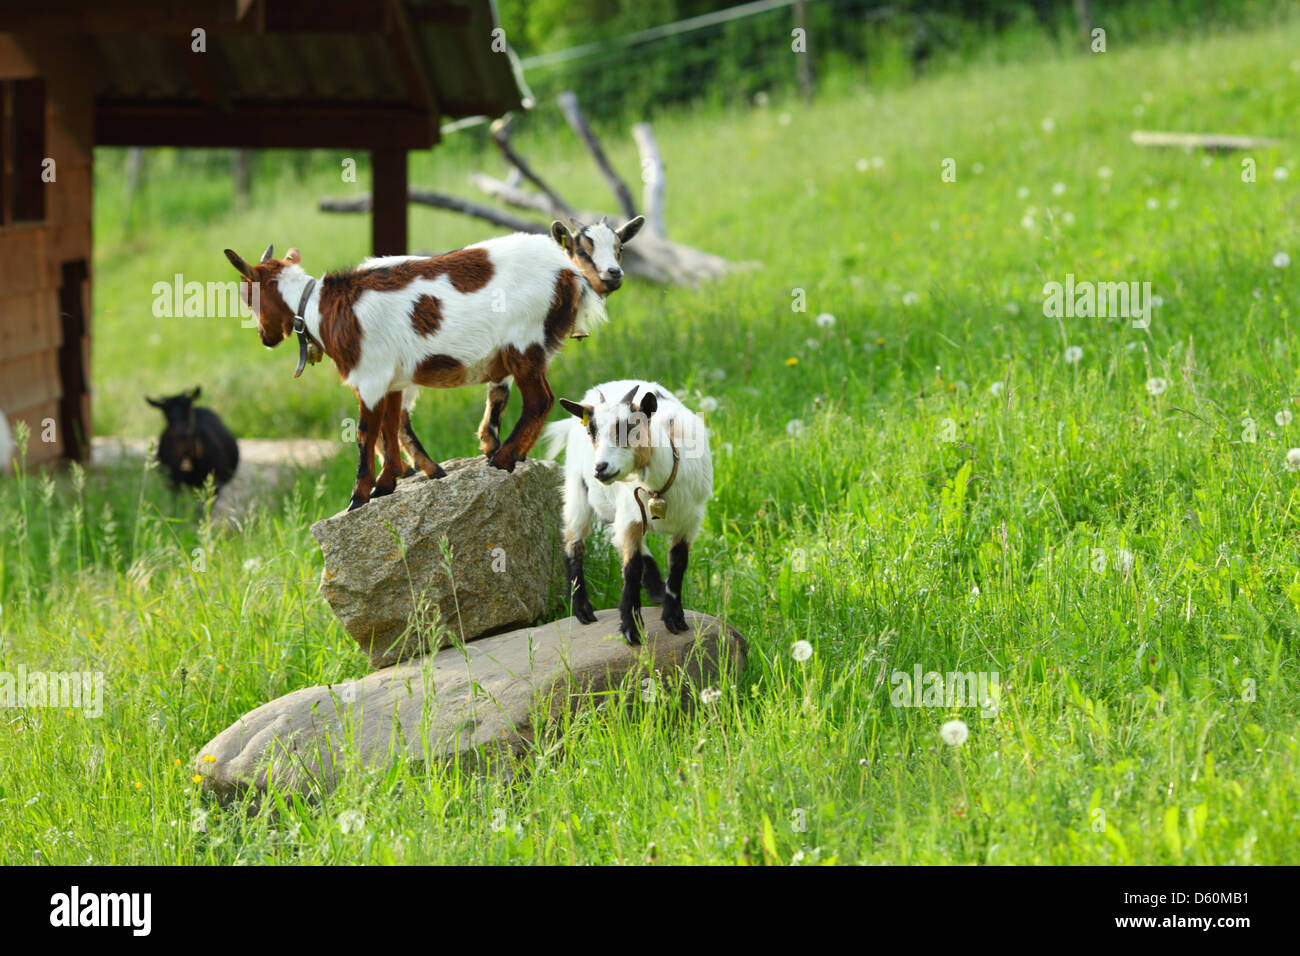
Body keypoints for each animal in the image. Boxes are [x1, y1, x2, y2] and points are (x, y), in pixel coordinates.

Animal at [224, 216, 645, 511]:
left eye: (248, 295)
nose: (265, 338)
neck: (321, 306)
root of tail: (569, 274)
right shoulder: (392, 379)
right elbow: (390, 426)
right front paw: (387, 485)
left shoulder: (370, 377)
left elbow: (365, 432)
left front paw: (359, 496)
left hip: (523, 344)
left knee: (539, 399)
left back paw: (503, 459)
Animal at [543, 380, 713, 644]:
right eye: (592, 431)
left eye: (630, 427)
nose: (600, 468)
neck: (658, 488)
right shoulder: (629, 517)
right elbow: (631, 568)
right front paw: (631, 628)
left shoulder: (691, 520)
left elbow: (678, 563)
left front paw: (674, 617)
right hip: (576, 490)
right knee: (574, 542)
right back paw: (582, 609)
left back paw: (657, 590)